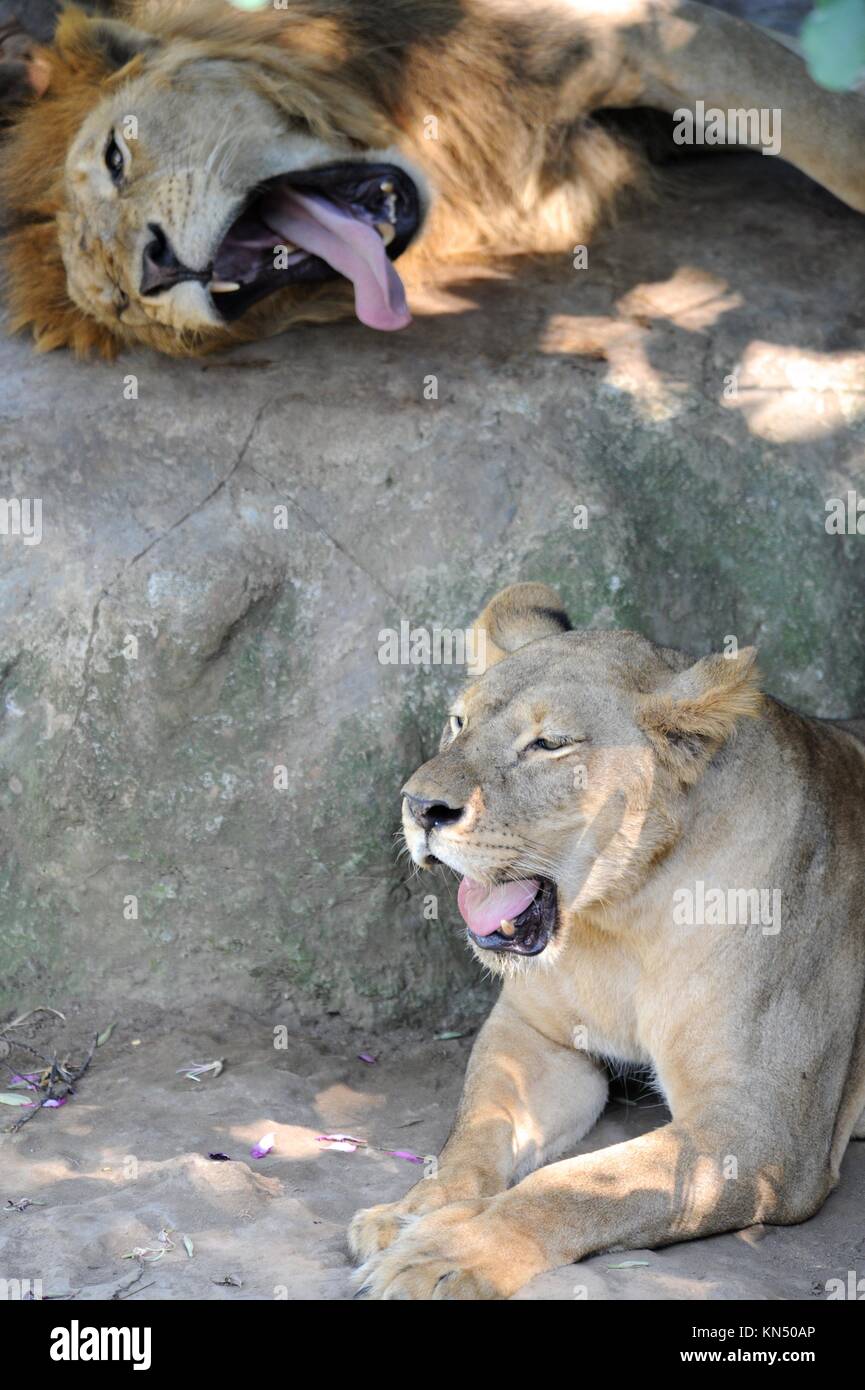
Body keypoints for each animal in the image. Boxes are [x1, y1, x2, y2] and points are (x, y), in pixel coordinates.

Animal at [348, 582, 865, 1299]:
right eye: (457, 723)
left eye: (548, 744)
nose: (420, 807)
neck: (620, 919)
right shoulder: (534, 1038)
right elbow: (472, 1134)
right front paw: (413, 1211)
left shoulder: (764, 1130)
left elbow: (583, 1183)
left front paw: (447, 1250)